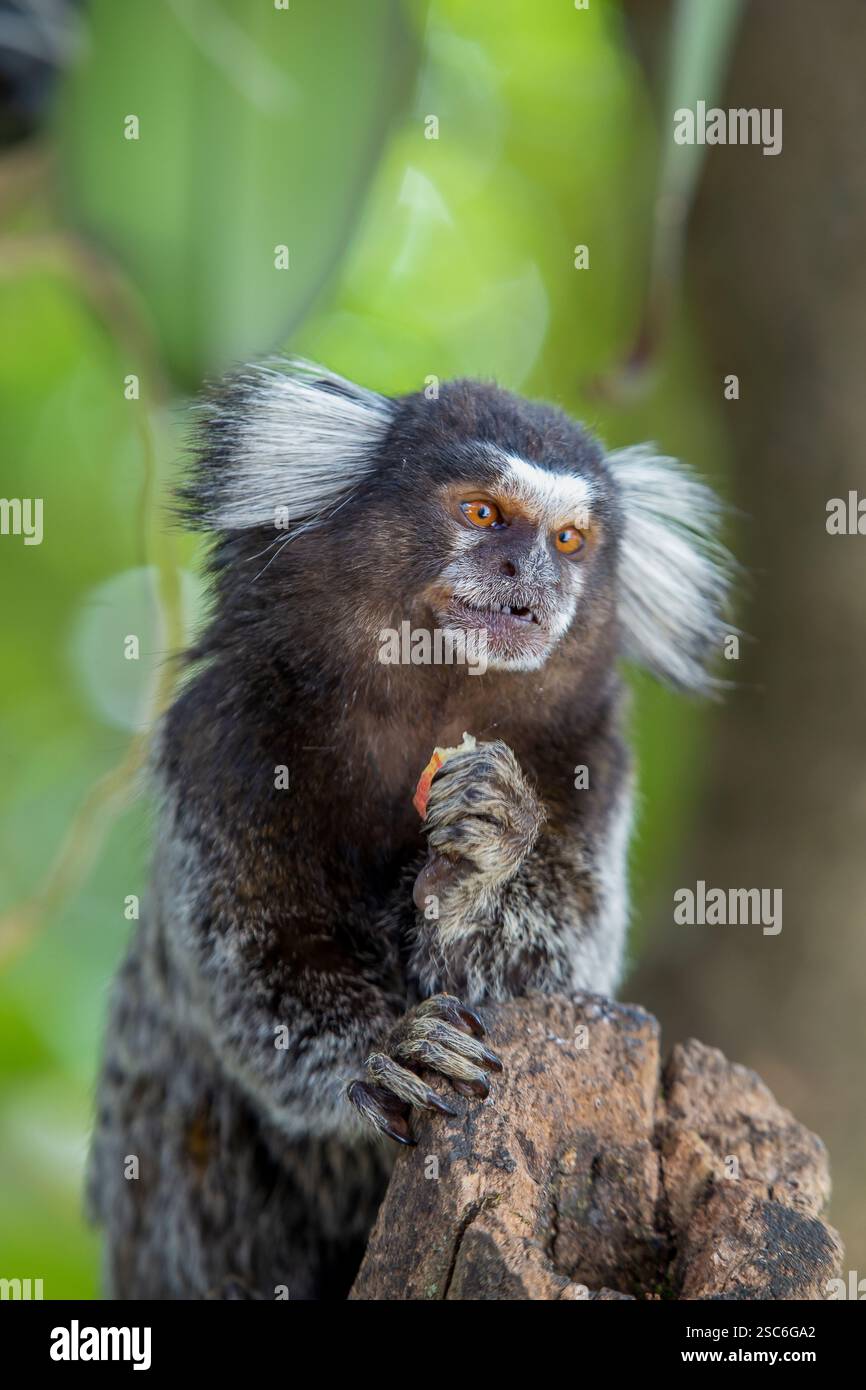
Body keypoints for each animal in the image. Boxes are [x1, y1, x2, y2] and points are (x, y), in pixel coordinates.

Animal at [86, 359, 732, 1300]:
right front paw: (390, 1052)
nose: (531, 575)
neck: (433, 689)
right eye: (482, 514)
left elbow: (554, 979)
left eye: (571, 540)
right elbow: (256, 968)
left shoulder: (597, 758)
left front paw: (479, 862)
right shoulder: (218, 735)